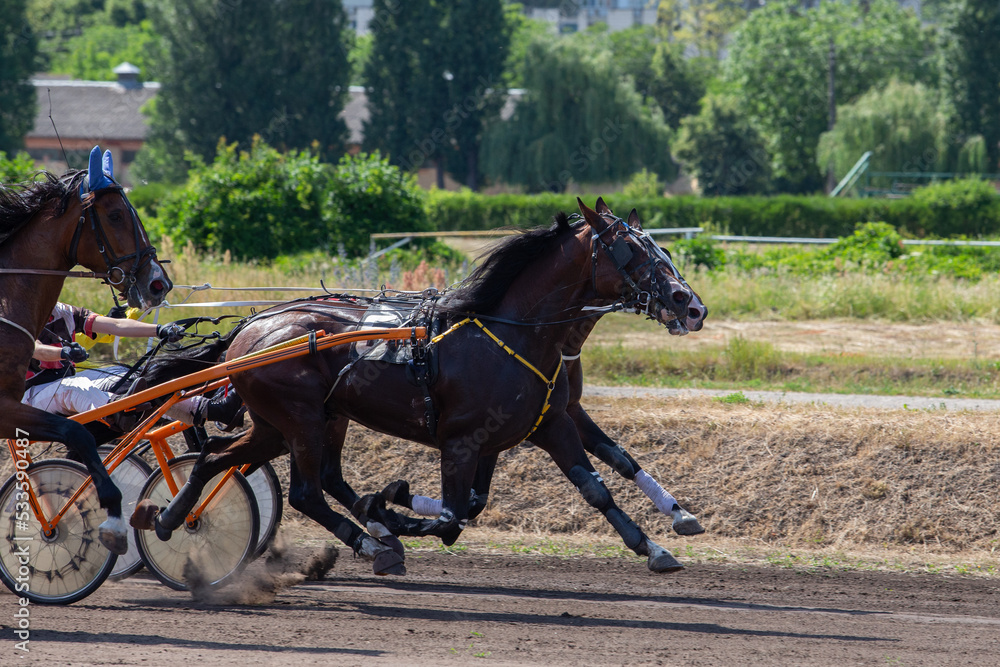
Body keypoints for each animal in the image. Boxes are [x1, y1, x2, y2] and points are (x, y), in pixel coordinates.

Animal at [151, 198, 703, 575]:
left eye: (663, 247)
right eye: (632, 251)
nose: (690, 304)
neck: (512, 331)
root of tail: (253, 327)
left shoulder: (548, 422)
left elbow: (598, 481)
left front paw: (661, 539)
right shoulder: (462, 442)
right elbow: (454, 516)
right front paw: (388, 505)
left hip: (293, 421)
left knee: (220, 457)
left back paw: (169, 517)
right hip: (300, 419)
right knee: (306, 490)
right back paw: (372, 541)